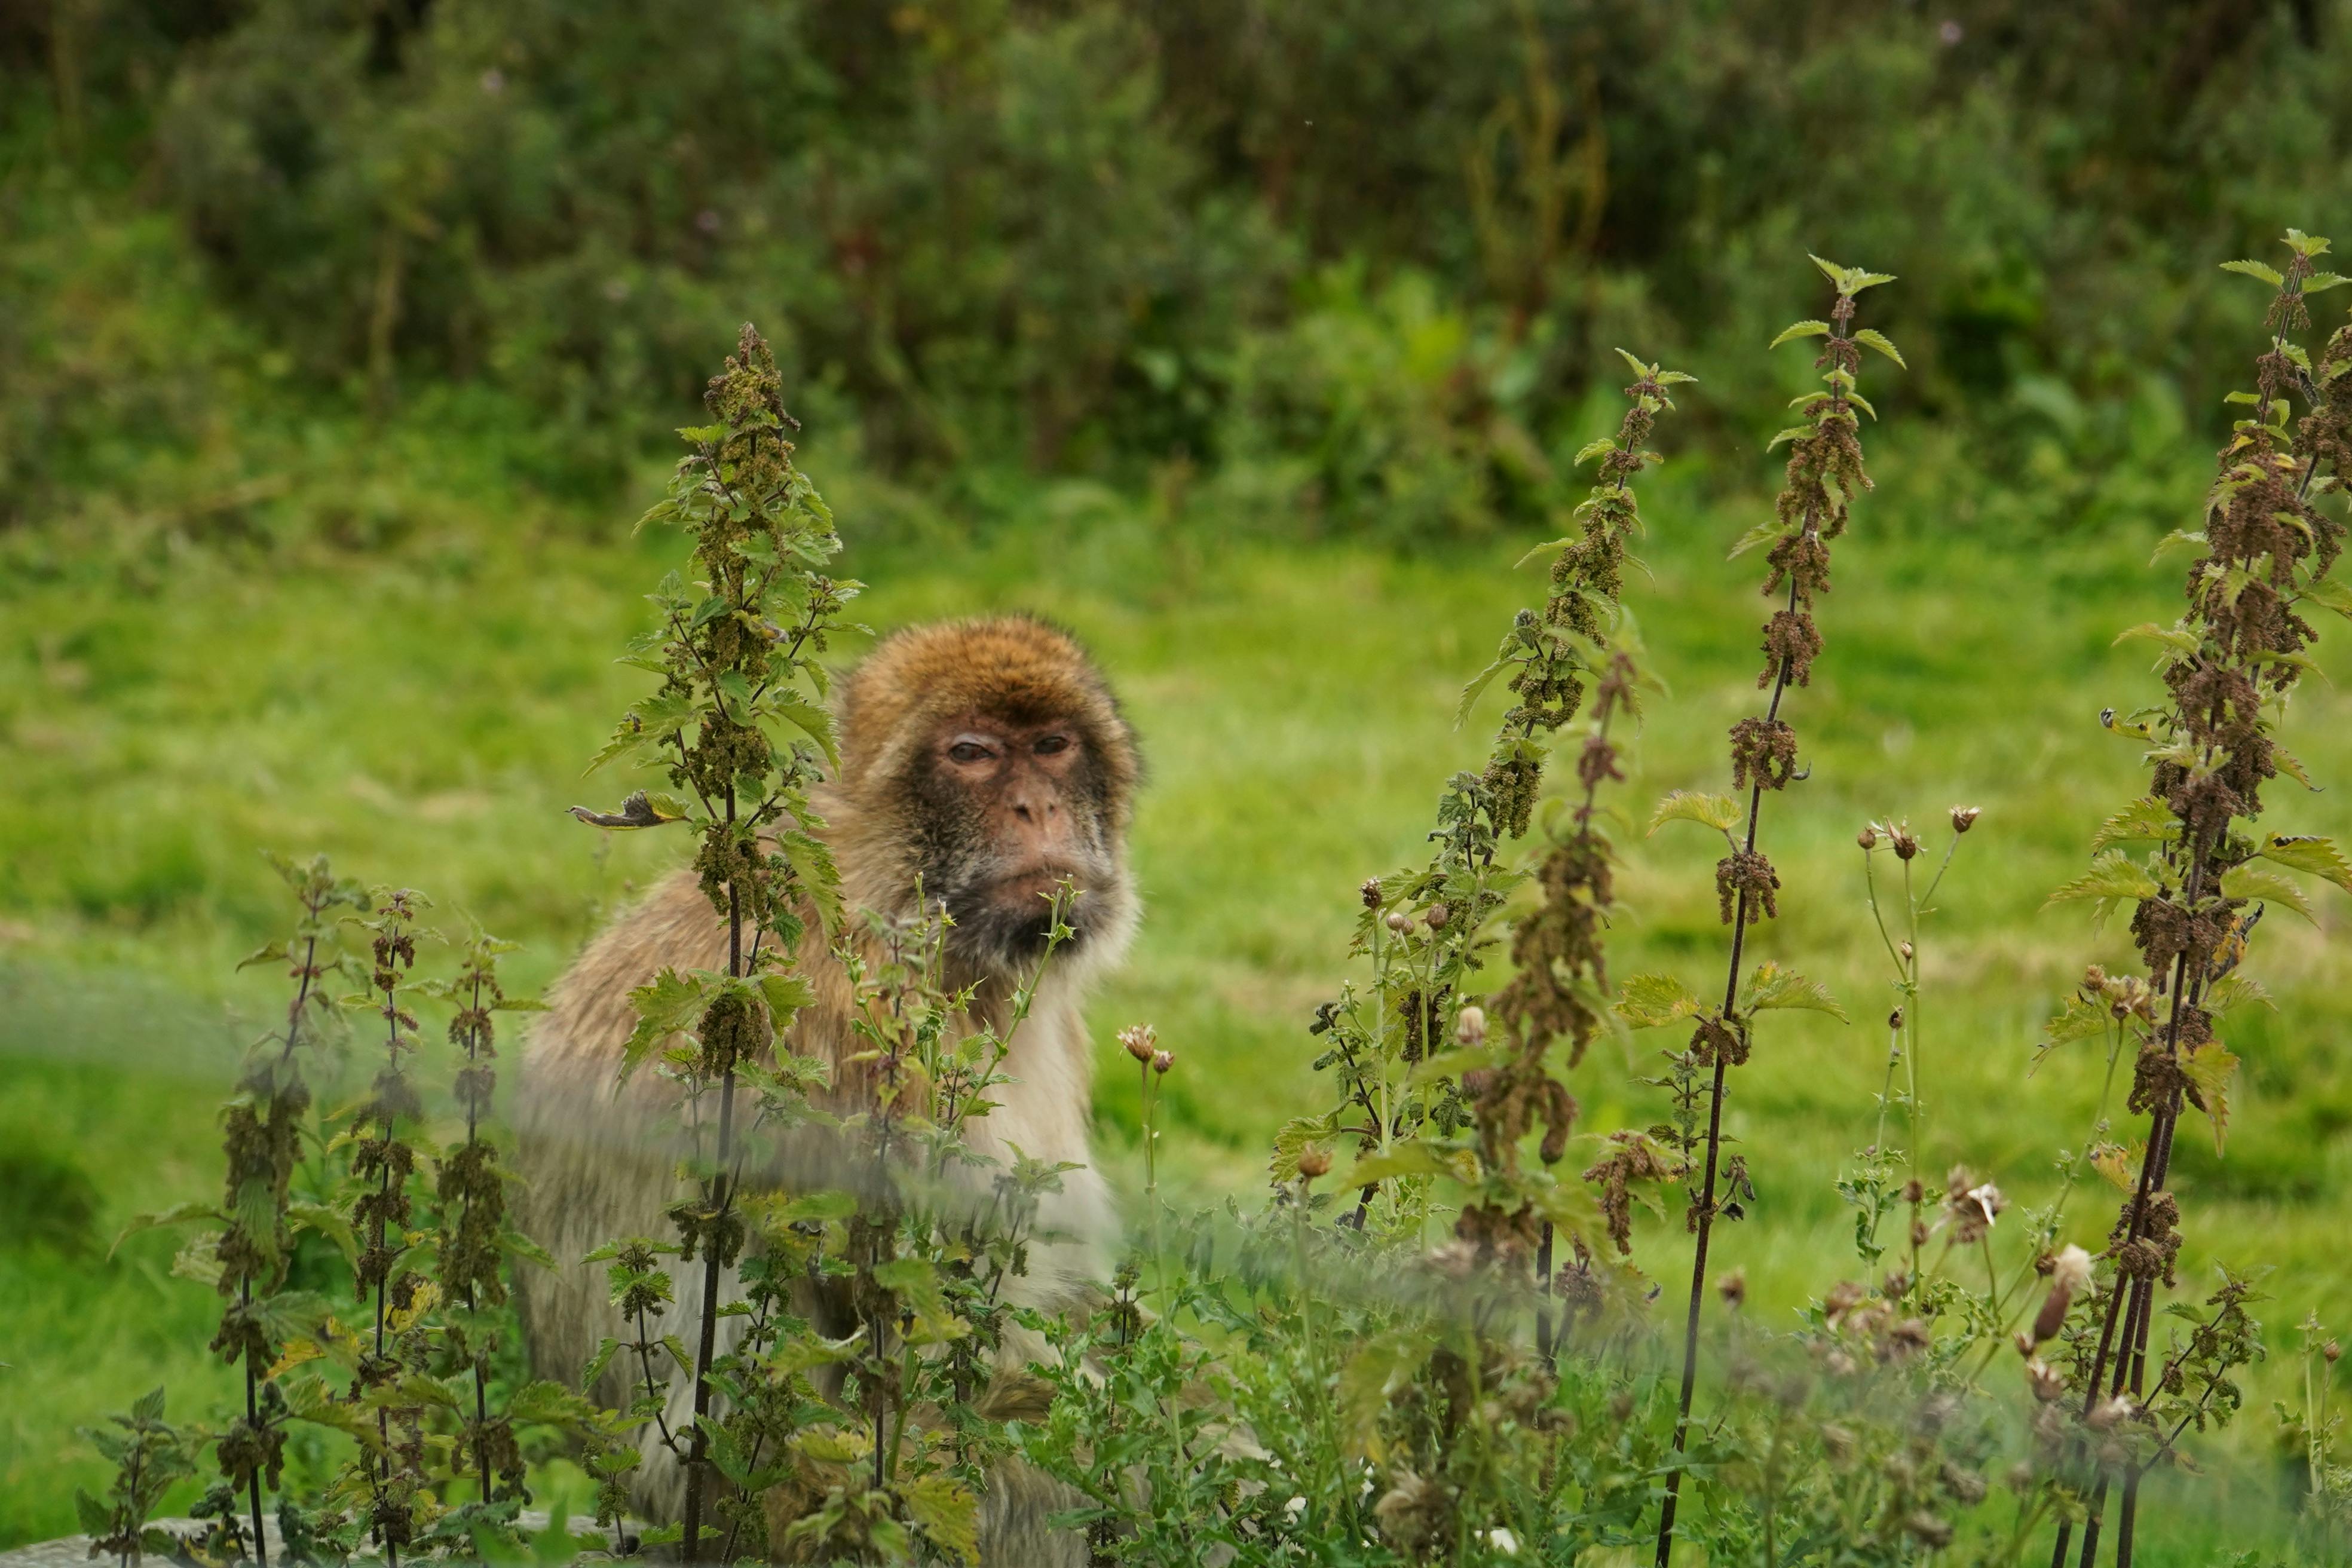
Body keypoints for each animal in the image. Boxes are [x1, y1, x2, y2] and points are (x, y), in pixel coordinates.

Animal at [512, 615, 1140, 1563]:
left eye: (1053, 746)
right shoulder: (876, 1040)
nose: (1040, 809)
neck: (899, 900)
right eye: (972, 754)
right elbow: (934, 1342)